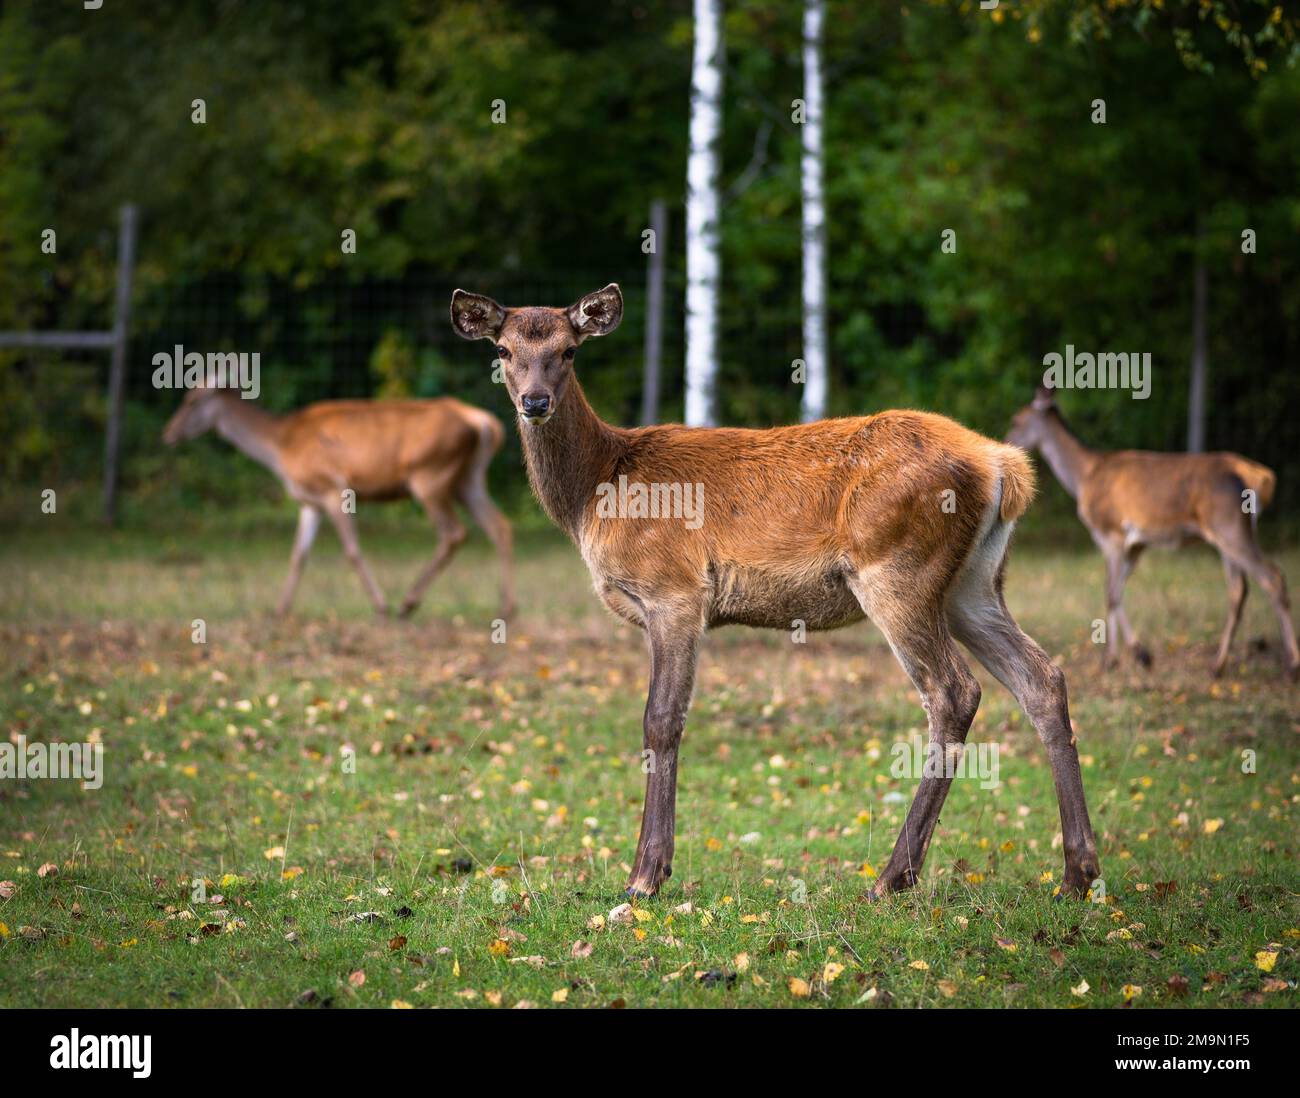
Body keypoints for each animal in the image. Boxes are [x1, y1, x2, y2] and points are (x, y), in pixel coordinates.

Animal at [162, 386, 515, 621]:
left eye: (191, 399)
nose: (168, 434)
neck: (280, 446)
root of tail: (486, 424)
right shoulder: (310, 502)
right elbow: (298, 554)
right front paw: (280, 609)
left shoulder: (333, 488)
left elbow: (352, 550)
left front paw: (381, 605)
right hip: (468, 479)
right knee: (499, 525)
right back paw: (506, 606)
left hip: (430, 476)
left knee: (454, 532)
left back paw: (407, 603)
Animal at [451, 283, 1101, 901]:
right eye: (503, 351)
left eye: (569, 350)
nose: (535, 402)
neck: (596, 490)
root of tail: (1003, 465)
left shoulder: (673, 590)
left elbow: (661, 719)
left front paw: (645, 876)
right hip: (974, 582)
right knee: (1042, 678)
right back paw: (1077, 874)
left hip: (896, 570)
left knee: (954, 691)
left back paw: (892, 878)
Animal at [1006, 385, 1298, 679]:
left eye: (1018, 419)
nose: (1006, 442)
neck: (1083, 477)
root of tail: (1259, 478)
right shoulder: (1137, 544)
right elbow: (1118, 591)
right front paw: (1140, 654)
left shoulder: (1110, 531)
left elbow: (1110, 592)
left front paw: (1111, 660)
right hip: (1228, 534)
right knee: (1238, 590)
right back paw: (1218, 665)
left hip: (1229, 525)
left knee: (1273, 577)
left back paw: (1291, 664)